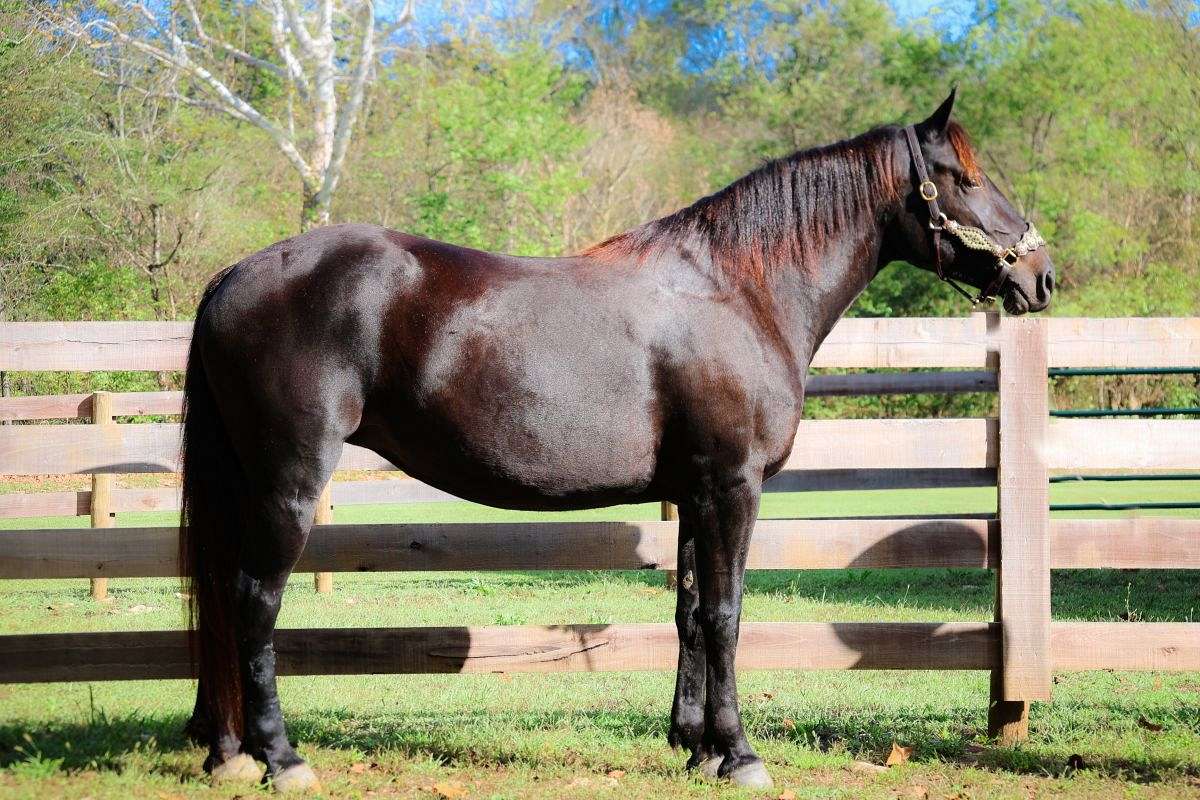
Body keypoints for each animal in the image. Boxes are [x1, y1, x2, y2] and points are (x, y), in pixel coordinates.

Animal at [178, 89, 1054, 792]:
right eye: (965, 179)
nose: (1039, 275)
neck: (739, 290)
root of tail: (232, 276)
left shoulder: (696, 492)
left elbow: (692, 613)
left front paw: (699, 748)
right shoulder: (733, 486)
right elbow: (727, 614)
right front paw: (741, 756)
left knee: (220, 598)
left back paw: (227, 754)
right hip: (288, 484)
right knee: (254, 601)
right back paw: (282, 760)